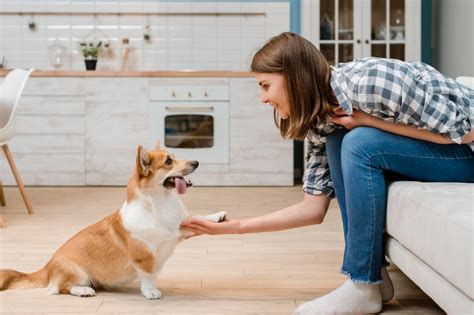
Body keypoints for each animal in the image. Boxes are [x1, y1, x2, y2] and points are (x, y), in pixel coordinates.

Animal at [0, 144, 226, 300]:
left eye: (176, 156)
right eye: (169, 161)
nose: (196, 162)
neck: (158, 203)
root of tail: (47, 266)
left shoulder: (178, 229)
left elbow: (197, 218)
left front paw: (218, 216)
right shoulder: (144, 257)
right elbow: (148, 276)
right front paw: (151, 292)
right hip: (77, 271)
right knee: (60, 288)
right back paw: (84, 290)